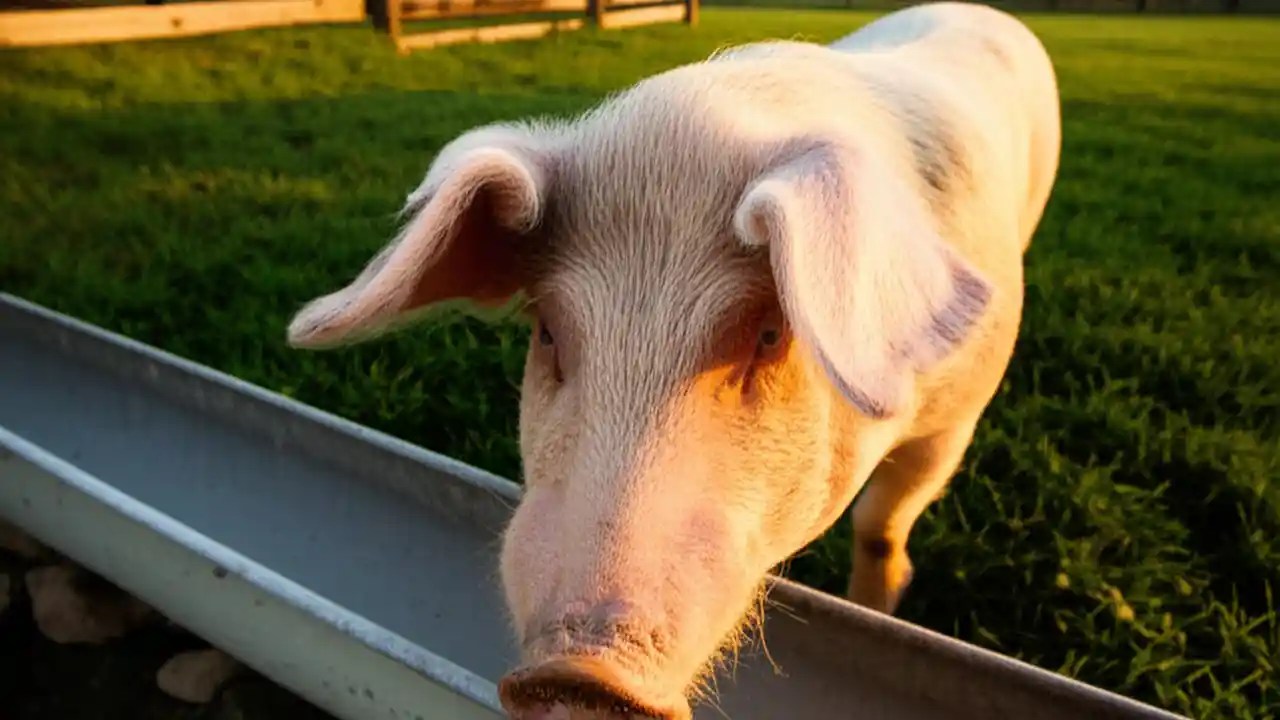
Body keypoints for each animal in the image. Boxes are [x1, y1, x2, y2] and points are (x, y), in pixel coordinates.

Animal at [285, 2, 1061, 718]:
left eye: (770, 335)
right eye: (549, 332)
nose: (578, 673)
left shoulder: (959, 411)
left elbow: (881, 524)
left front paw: (879, 606)